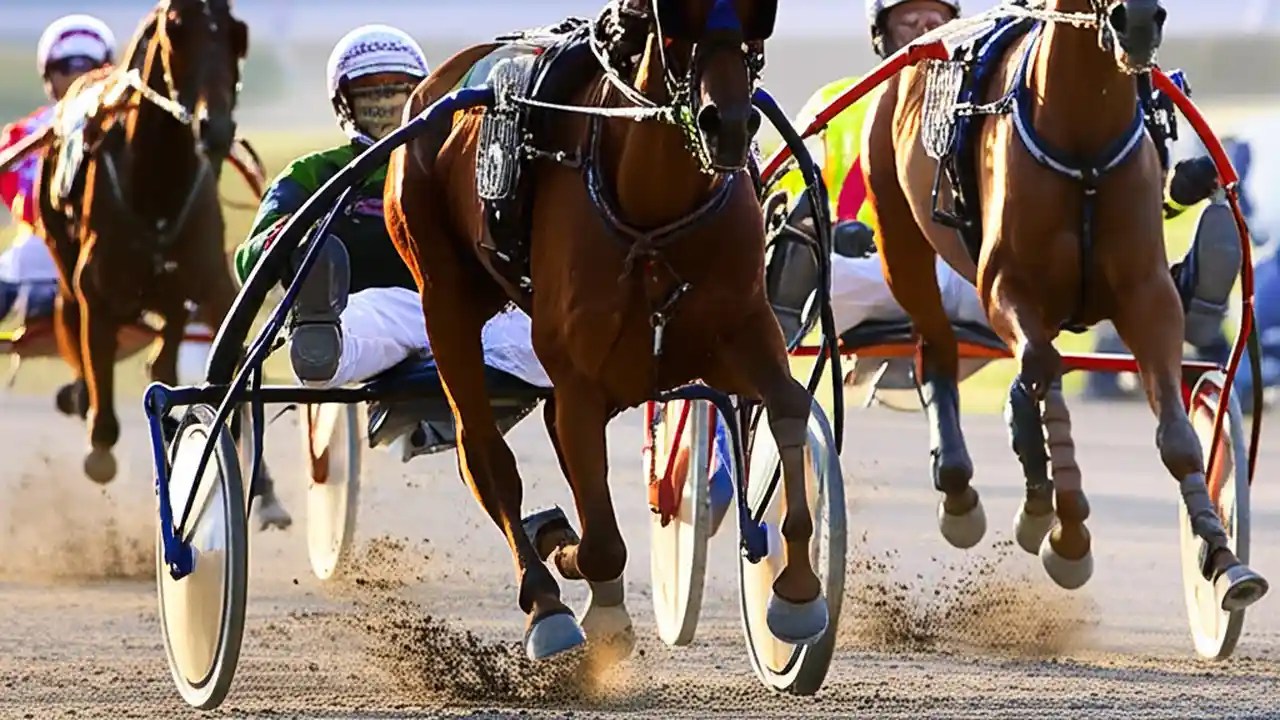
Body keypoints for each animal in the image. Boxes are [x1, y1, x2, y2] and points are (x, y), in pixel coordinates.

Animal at [37, 0, 248, 485]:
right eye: (176, 32)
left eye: (233, 33)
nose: (214, 127)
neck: (155, 194)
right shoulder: (97, 297)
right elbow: (102, 426)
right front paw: (97, 435)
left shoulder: (208, 286)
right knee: (69, 318)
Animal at [383, 0, 828, 660]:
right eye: (678, 20)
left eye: (757, 17)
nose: (726, 124)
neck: (653, 213)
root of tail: (438, 83)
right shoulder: (581, 380)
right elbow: (599, 543)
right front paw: (577, 584)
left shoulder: (742, 331)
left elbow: (789, 405)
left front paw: (797, 591)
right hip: (441, 292)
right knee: (485, 454)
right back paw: (545, 602)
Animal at [864, 0, 1268, 608]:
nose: (1137, 21)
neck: (1083, 143)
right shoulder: (1005, 287)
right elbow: (1040, 371)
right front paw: (1069, 532)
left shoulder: (1146, 294)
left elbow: (1175, 434)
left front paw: (1221, 554)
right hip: (900, 241)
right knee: (938, 352)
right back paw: (961, 492)